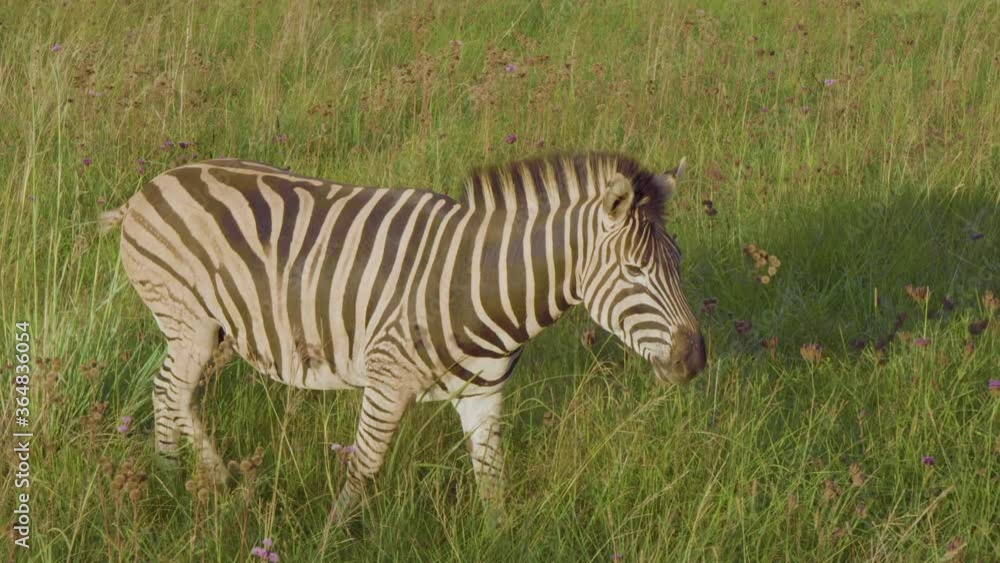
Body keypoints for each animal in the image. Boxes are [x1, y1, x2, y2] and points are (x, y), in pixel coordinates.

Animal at [99, 152, 707, 521]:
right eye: (634, 272)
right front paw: (331, 540)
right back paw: (169, 480)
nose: (695, 359)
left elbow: (492, 480)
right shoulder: (386, 382)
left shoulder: (484, 395)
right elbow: (363, 469)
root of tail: (153, 185)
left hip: (224, 331)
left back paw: (217, 478)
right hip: (191, 324)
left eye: (679, 261)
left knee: (185, 396)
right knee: (167, 392)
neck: (480, 287)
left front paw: (500, 538)